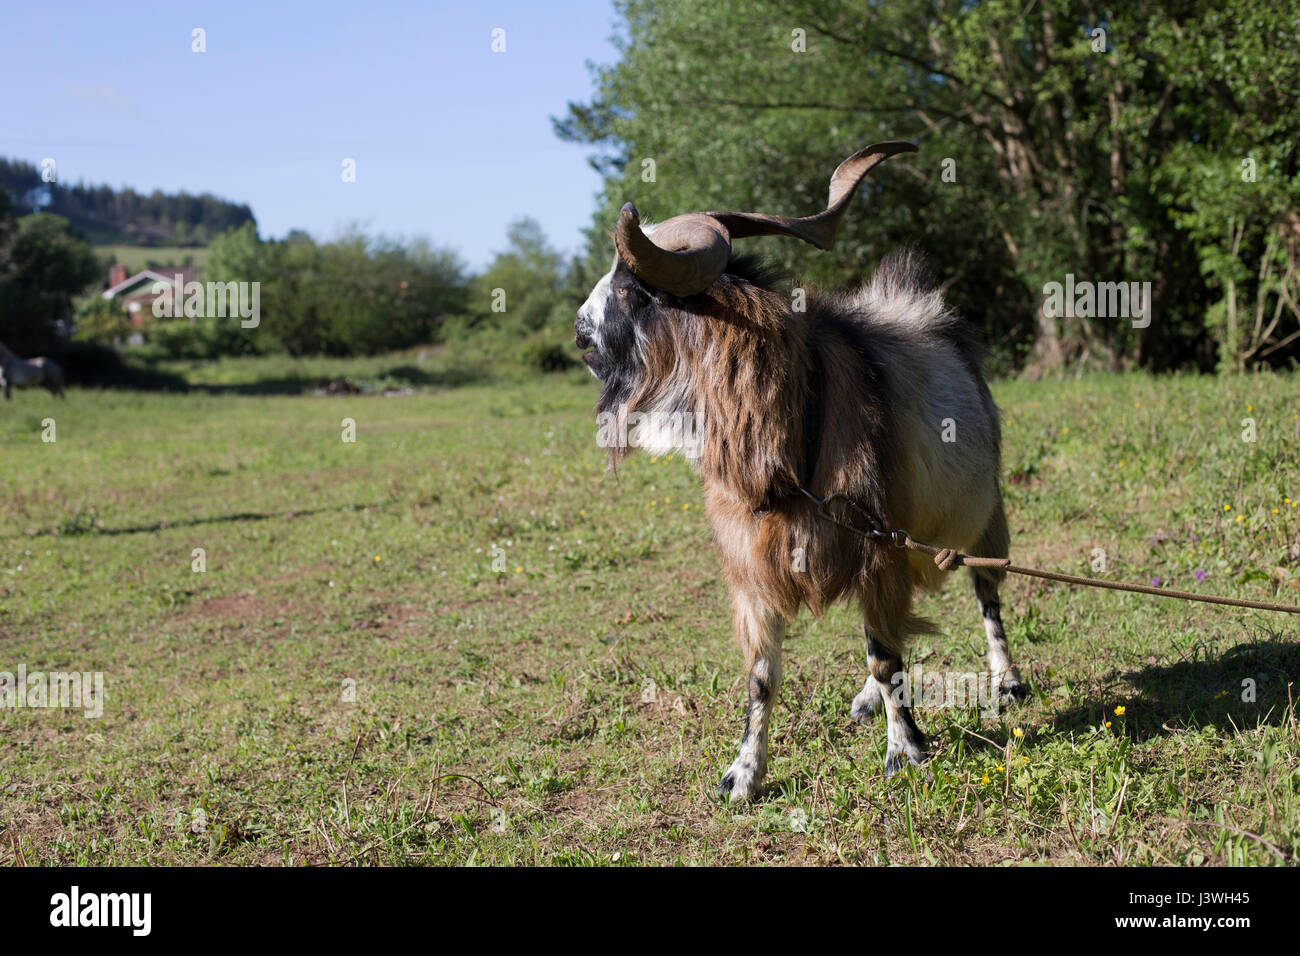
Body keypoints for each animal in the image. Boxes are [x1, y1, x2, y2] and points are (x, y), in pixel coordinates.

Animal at [574, 142, 1026, 802]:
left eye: (633, 289)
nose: (579, 329)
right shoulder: (754, 565)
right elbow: (764, 676)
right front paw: (743, 775)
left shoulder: (878, 547)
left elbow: (885, 656)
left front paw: (905, 753)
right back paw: (866, 702)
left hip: (983, 514)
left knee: (986, 594)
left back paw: (1008, 682)